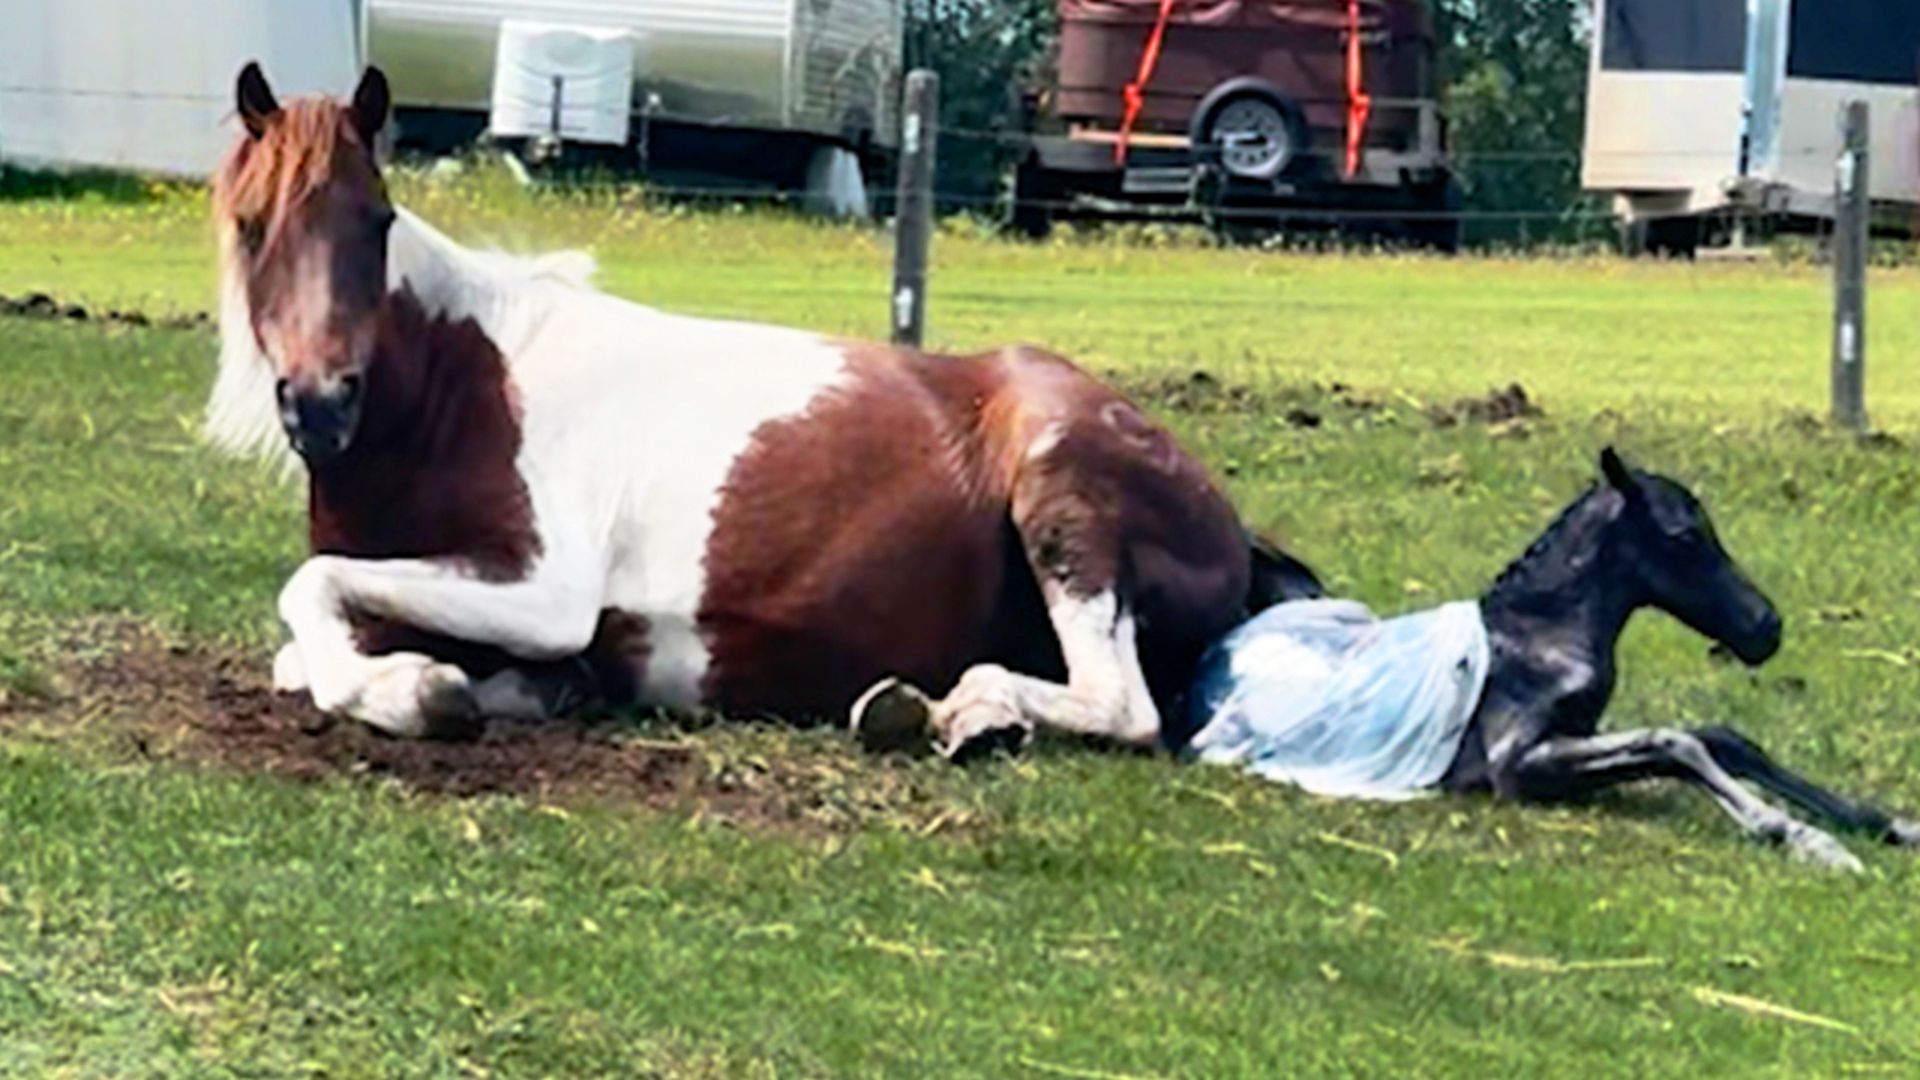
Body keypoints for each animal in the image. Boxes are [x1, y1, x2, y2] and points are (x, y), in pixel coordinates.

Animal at [209, 64, 1323, 752]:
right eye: (253, 225)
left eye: (379, 219)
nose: (321, 404)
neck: (464, 388)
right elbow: (302, 650)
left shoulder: (541, 592)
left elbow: (311, 594)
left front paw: (418, 691)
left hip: (1064, 500)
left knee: (1122, 707)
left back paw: (967, 708)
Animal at [1187, 449, 1919, 872]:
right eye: (1684, 536)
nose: (1767, 628)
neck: (1539, 636)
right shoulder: (1518, 767)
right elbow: (1675, 742)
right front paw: (1800, 838)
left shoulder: (1580, 736)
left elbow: (1724, 739)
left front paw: (1889, 822)